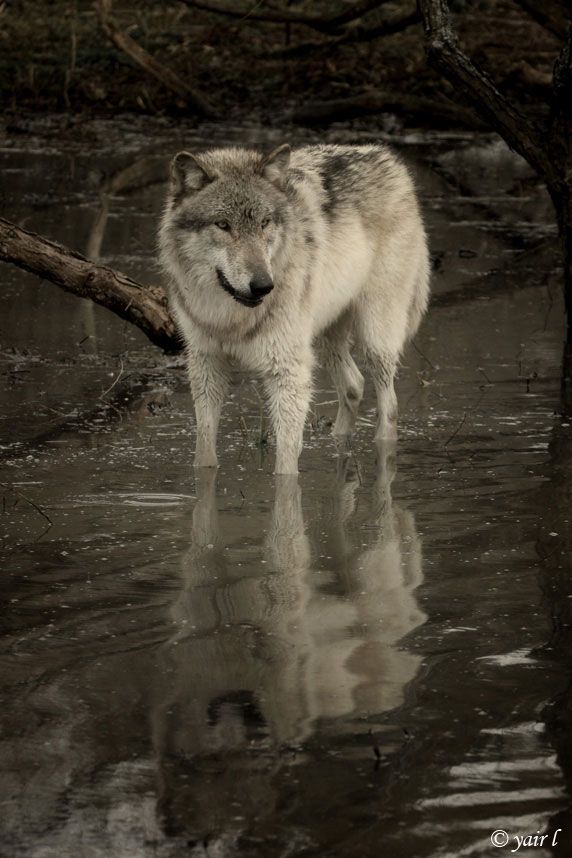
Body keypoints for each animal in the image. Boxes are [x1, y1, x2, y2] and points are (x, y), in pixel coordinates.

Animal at [159, 143, 429, 474]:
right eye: (223, 225)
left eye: (265, 222)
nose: (263, 285)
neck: (230, 317)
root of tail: (386, 157)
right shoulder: (207, 364)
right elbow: (204, 450)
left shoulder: (288, 372)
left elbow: (286, 467)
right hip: (324, 339)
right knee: (353, 385)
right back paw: (337, 443)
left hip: (374, 338)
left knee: (388, 406)